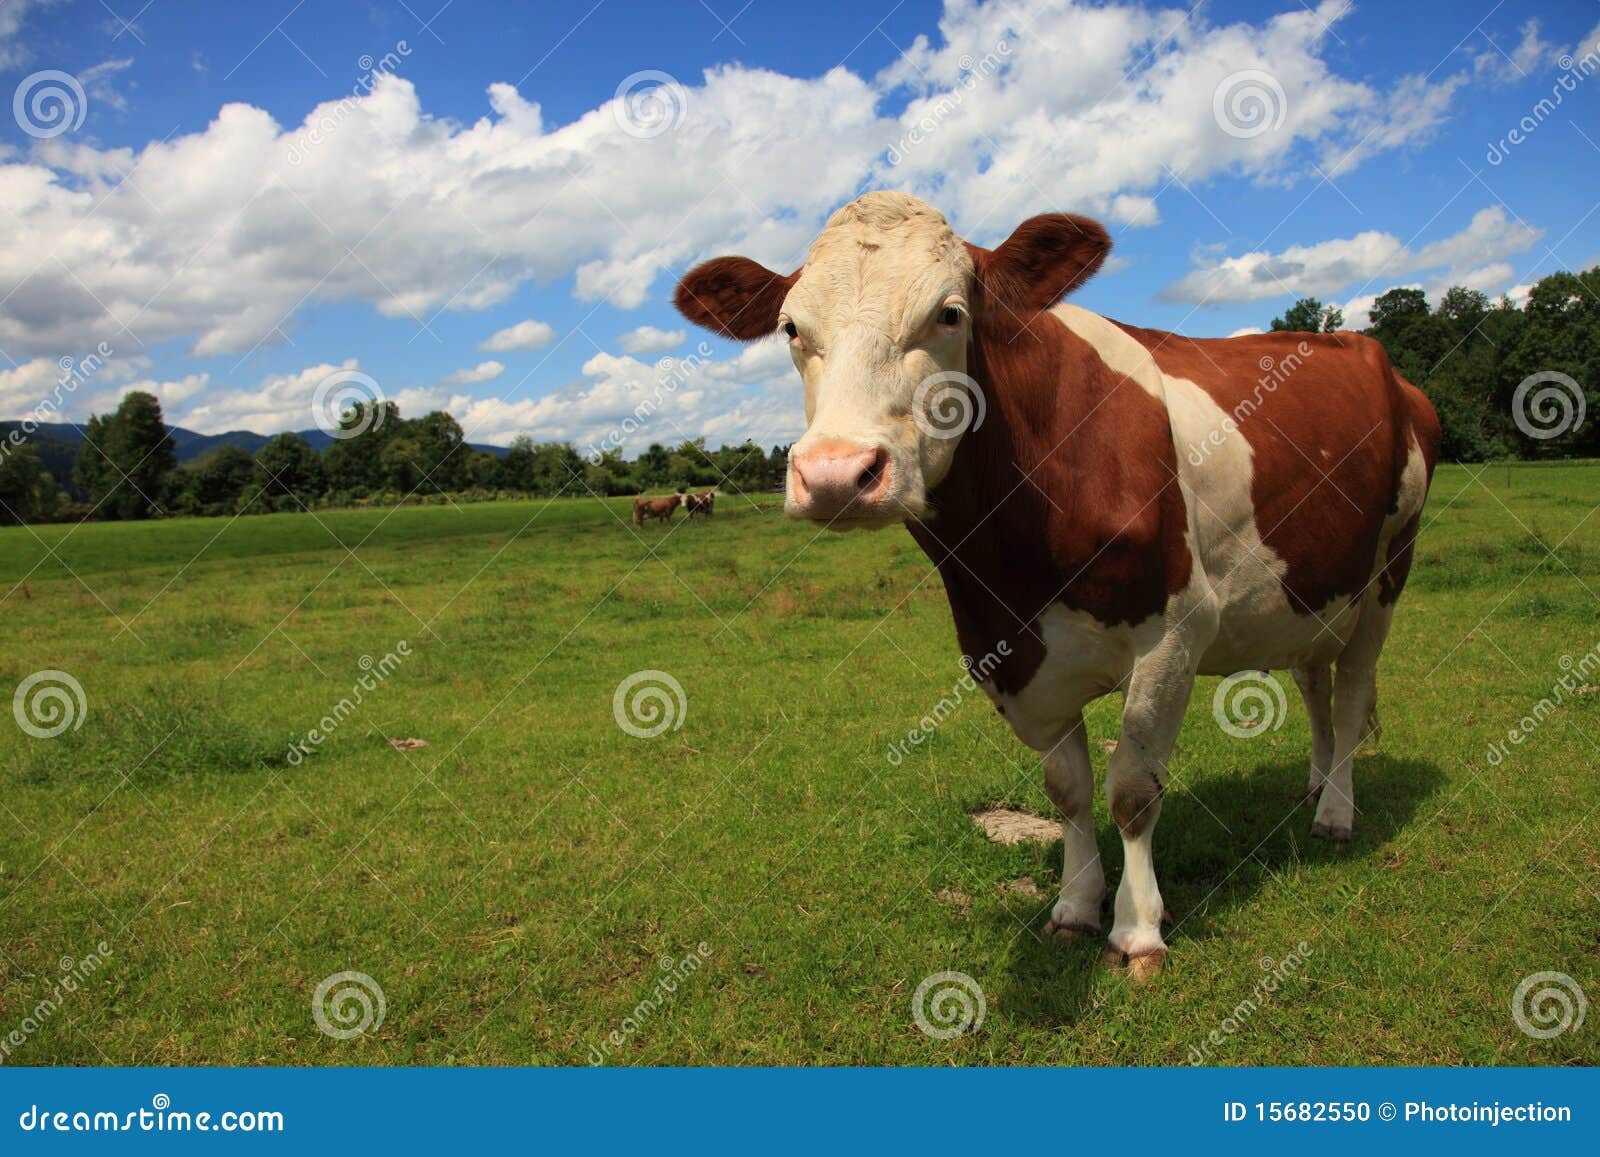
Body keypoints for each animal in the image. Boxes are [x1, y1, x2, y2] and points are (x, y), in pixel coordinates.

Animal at [675, 191, 1439, 979]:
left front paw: (1138, 929)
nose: (833, 474)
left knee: (1350, 692)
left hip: (1389, 570)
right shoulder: (1006, 650)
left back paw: (1337, 813)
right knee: (1316, 682)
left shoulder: (1176, 633)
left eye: (950, 313)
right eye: (792, 328)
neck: (1012, 562)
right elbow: (1067, 789)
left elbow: (1132, 790)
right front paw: (1075, 905)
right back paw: (1317, 783)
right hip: (1316, 589)